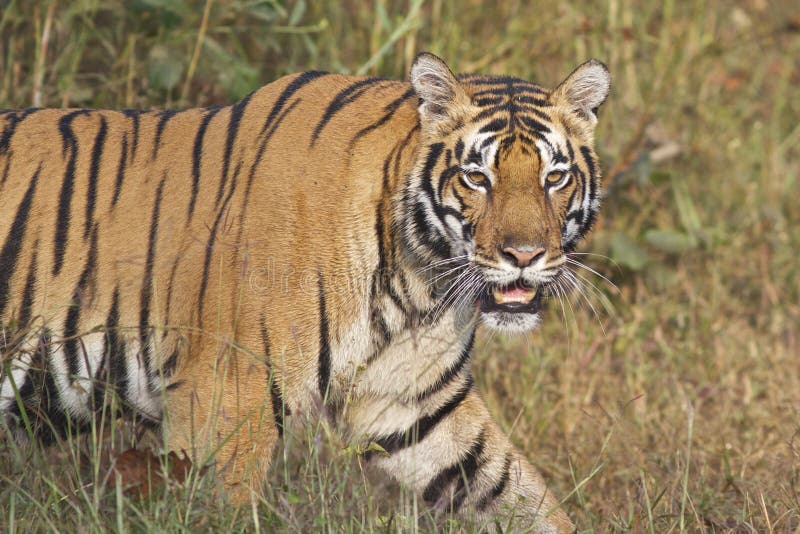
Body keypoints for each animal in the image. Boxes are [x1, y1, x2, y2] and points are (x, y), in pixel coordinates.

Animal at [0, 52, 609, 531]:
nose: (524, 256)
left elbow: (511, 488)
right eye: (477, 178)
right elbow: (219, 509)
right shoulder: (227, 390)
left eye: (554, 177)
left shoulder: (413, 401)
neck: (419, 283)